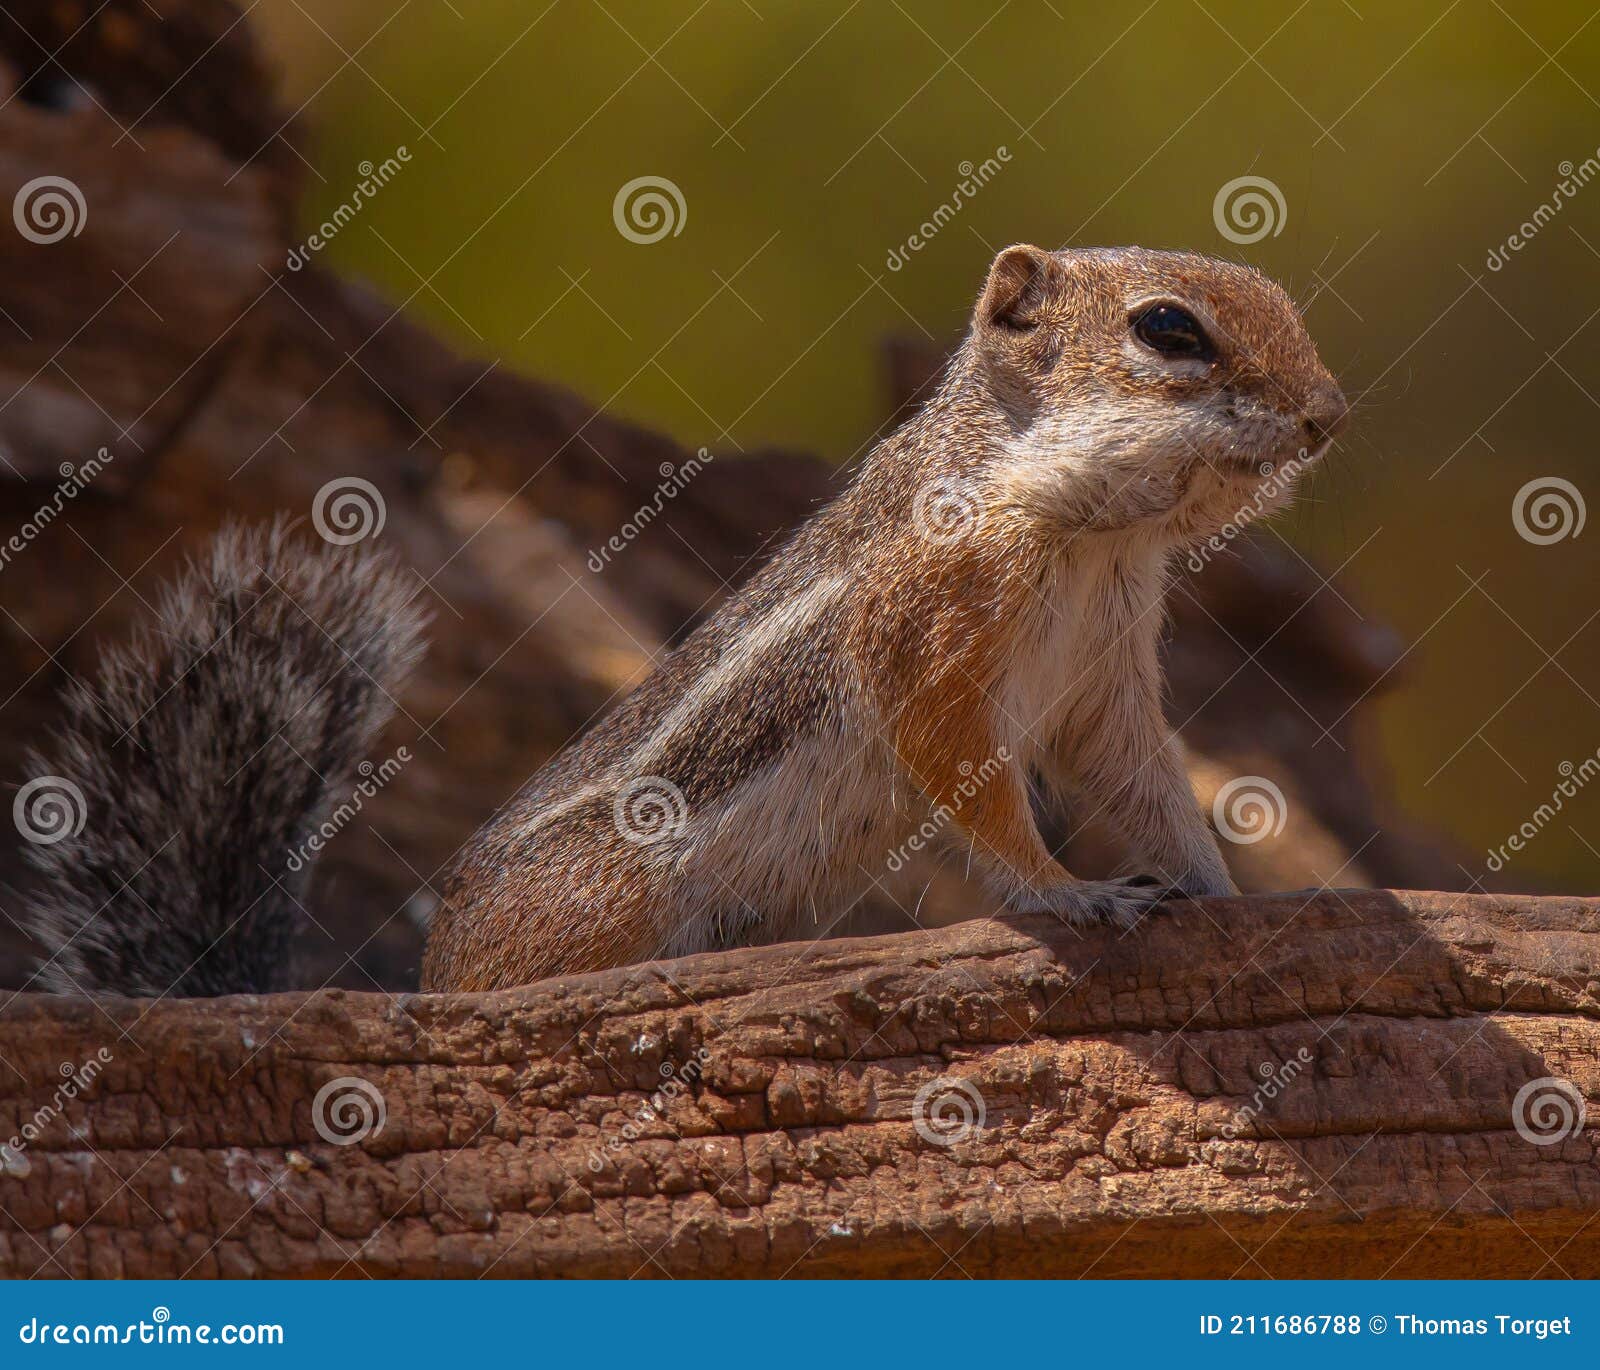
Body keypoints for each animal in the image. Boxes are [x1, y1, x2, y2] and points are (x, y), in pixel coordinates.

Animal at [19, 245, 1345, 998]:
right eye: (1168, 329)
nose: (1329, 414)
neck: (1088, 528)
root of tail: (436, 979)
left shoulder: (1104, 675)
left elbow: (1137, 777)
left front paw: (1218, 888)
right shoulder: (929, 628)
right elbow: (966, 777)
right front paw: (1073, 893)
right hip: (624, 887)